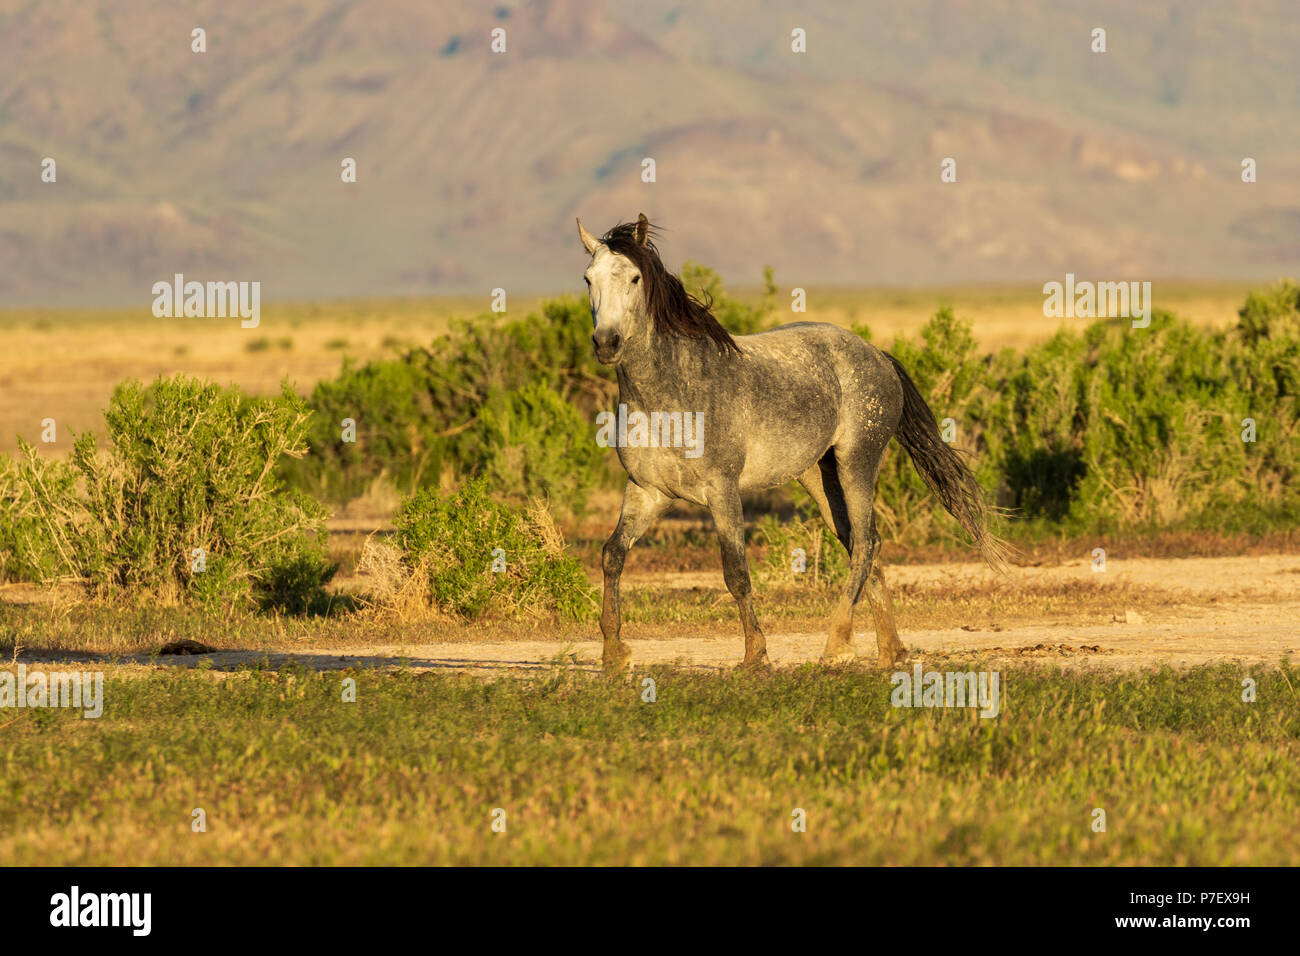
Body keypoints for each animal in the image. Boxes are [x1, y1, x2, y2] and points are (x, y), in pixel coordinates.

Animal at [578, 213, 1007, 671]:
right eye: (588, 278)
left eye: (635, 278)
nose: (606, 342)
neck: (670, 394)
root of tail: (878, 355)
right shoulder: (648, 492)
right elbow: (612, 555)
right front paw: (613, 652)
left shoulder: (722, 490)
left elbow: (735, 571)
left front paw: (756, 655)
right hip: (820, 478)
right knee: (862, 546)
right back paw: (890, 651)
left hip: (857, 463)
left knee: (866, 543)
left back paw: (839, 642)